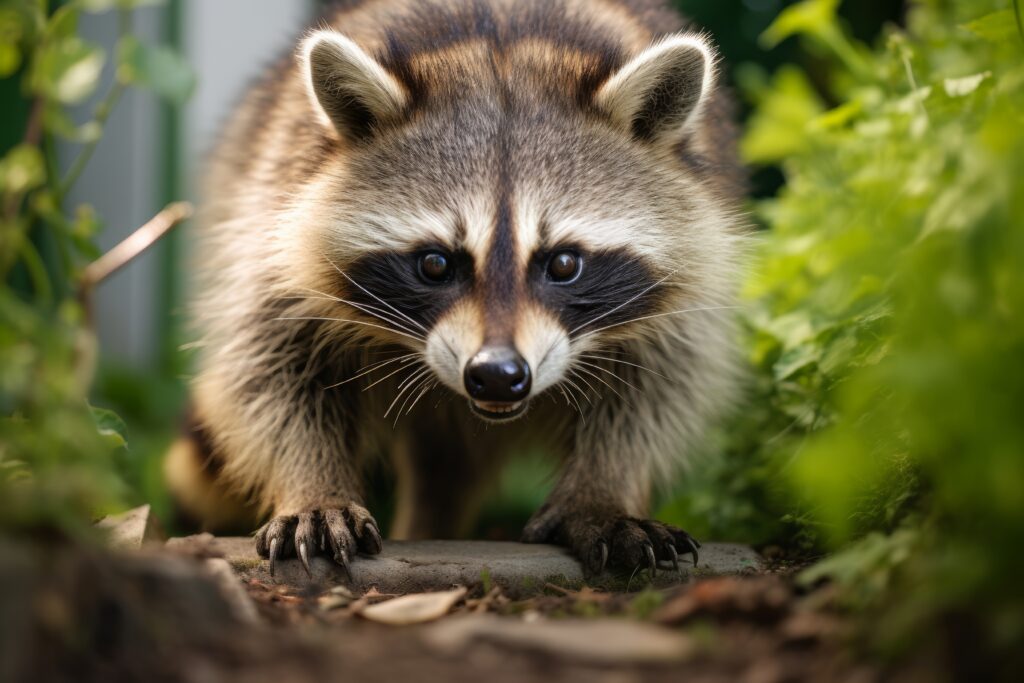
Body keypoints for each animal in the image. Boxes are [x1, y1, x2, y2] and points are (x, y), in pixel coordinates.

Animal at [165, 0, 745, 578]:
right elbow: (275, 375)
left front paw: (602, 494)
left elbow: (651, 392)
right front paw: (314, 485)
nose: (497, 376)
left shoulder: (687, 287)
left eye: (563, 263)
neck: (501, 59)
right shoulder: (273, 230)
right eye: (435, 263)